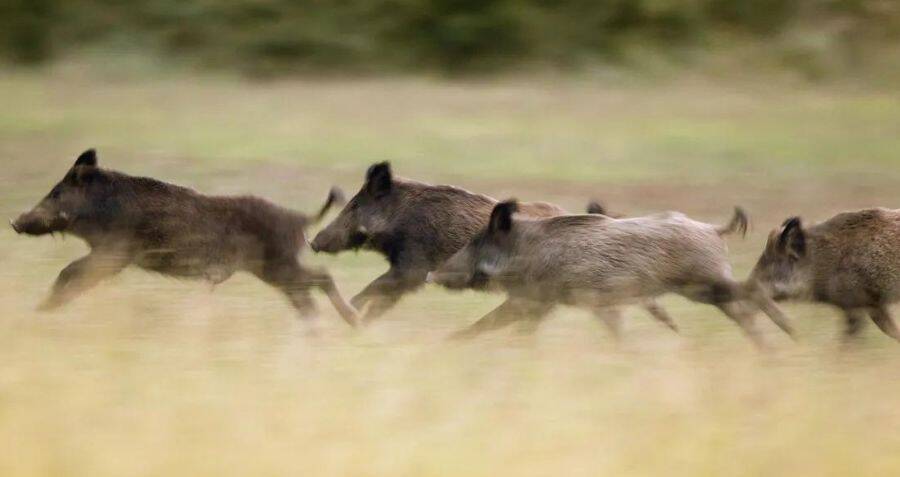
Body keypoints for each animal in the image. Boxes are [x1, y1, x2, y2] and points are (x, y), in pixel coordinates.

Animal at [10, 149, 359, 327]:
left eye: (56, 193)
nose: (14, 221)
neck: (100, 210)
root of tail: (297, 218)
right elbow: (73, 274)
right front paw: (43, 309)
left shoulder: (116, 252)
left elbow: (70, 271)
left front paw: (42, 308)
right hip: (275, 270)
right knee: (308, 292)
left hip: (276, 264)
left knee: (320, 278)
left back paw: (351, 320)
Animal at [310, 162, 678, 334]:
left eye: (355, 205)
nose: (313, 242)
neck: (401, 217)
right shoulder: (407, 274)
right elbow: (380, 300)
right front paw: (360, 322)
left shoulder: (411, 266)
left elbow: (374, 290)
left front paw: (353, 314)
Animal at [430, 201, 794, 346]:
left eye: (478, 241)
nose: (433, 274)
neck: (526, 252)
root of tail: (714, 229)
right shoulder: (564, 303)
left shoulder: (535, 298)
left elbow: (488, 323)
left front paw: (448, 341)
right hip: (705, 289)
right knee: (742, 313)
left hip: (704, 280)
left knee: (751, 295)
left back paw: (790, 332)